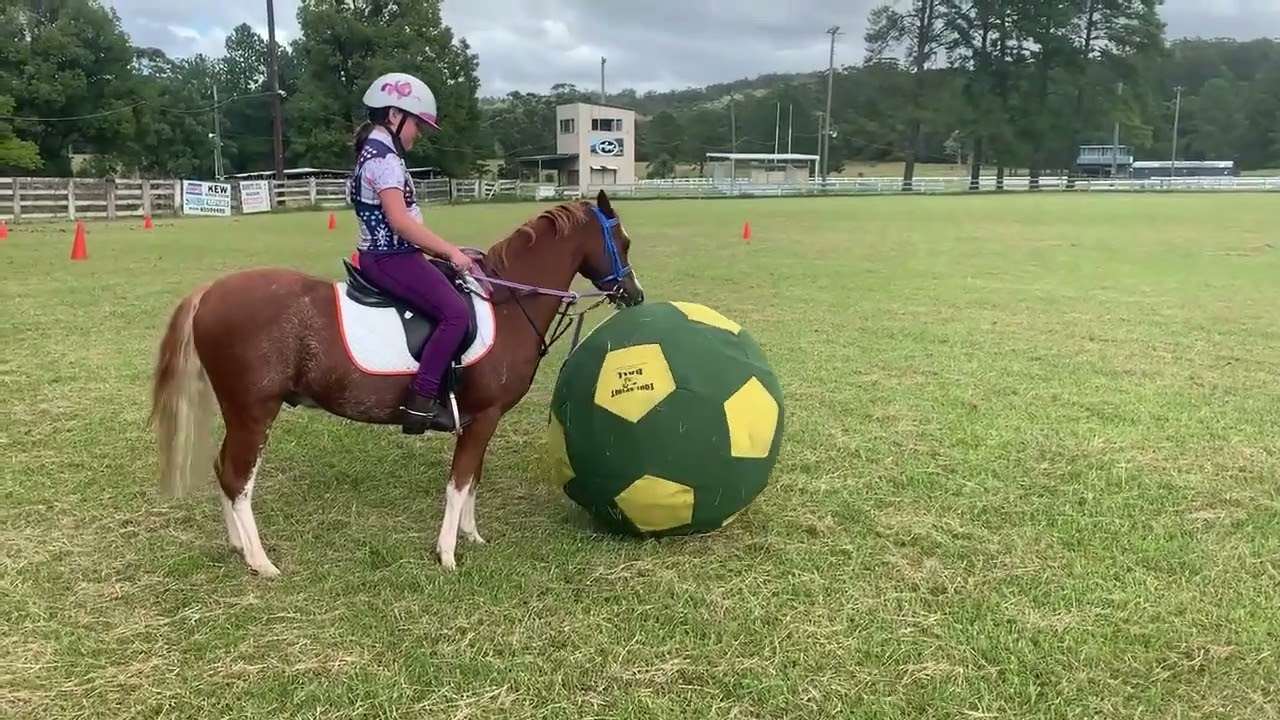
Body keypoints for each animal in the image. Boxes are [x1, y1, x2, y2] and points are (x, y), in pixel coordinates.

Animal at [148, 189, 644, 577]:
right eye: (622, 241)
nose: (634, 295)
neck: (504, 303)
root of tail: (209, 292)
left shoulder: (479, 421)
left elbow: (472, 479)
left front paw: (472, 536)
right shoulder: (483, 417)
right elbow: (459, 482)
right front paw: (447, 553)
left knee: (223, 470)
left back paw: (237, 547)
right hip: (253, 411)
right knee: (238, 477)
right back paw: (259, 561)